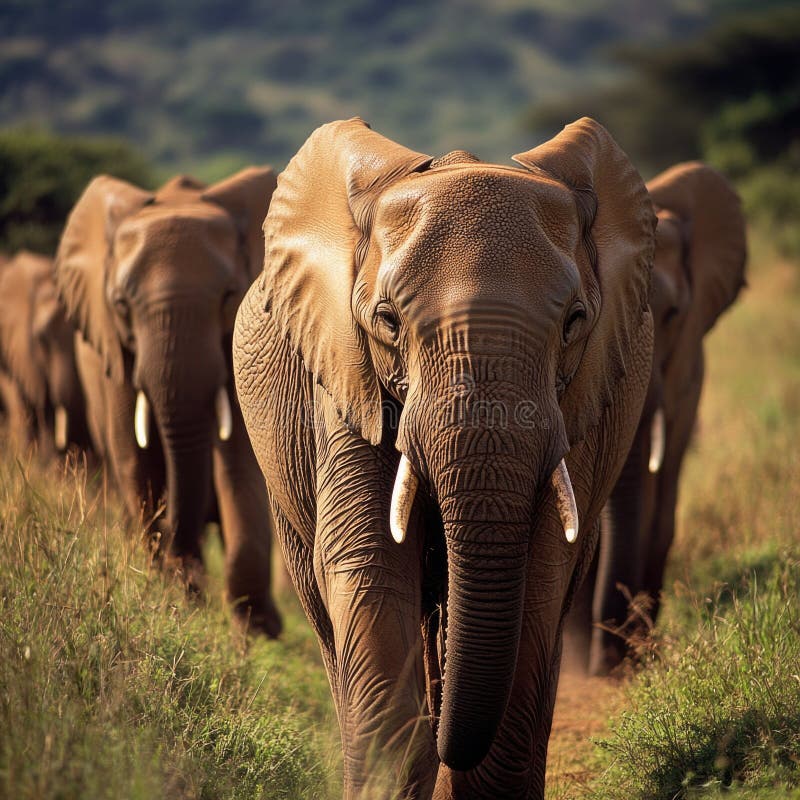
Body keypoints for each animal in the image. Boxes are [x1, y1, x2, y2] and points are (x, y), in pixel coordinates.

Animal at [53, 169, 282, 637]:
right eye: (121, 304)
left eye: (229, 295)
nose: (186, 565)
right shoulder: (113, 354)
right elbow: (135, 459)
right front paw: (173, 595)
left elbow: (240, 462)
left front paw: (255, 631)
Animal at [233, 116, 656, 798]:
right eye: (386, 320)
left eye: (575, 322)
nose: (443, 742)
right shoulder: (346, 381)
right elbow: (369, 560)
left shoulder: (583, 395)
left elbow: (542, 570)